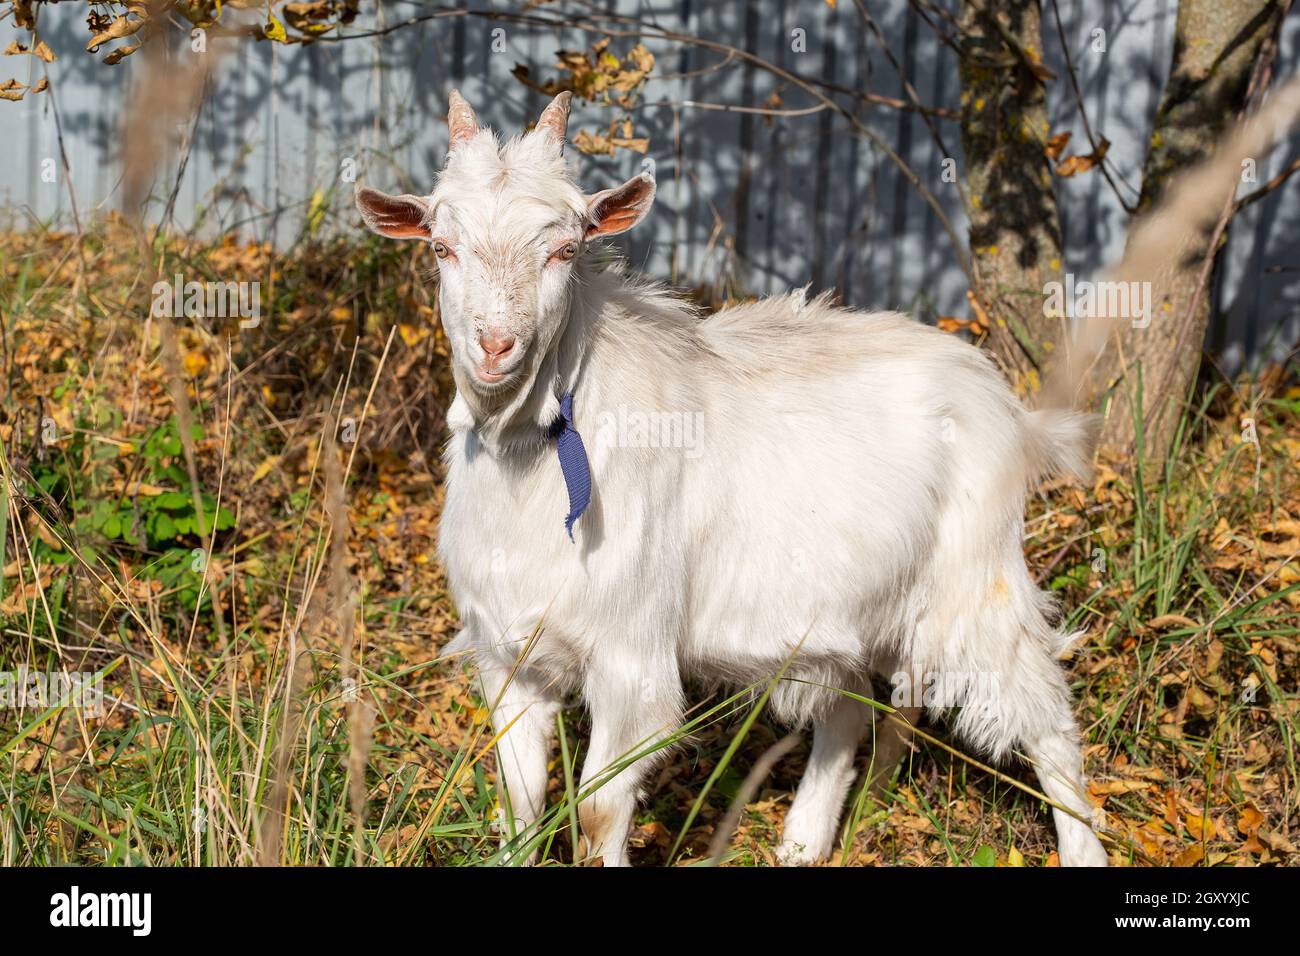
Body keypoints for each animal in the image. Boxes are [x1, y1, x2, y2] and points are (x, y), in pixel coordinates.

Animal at [356, 90, 1109, 867]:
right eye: (441, 247)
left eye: (564, 249)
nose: (495, 347)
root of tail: (1006, 404)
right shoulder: (510, 655)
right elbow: (520, 803)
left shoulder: (630, 658)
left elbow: (598, 810)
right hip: (848, 604)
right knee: (847, 713)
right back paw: (807, 838)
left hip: (976, 581)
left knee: (1046, 717)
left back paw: (1082, 846)